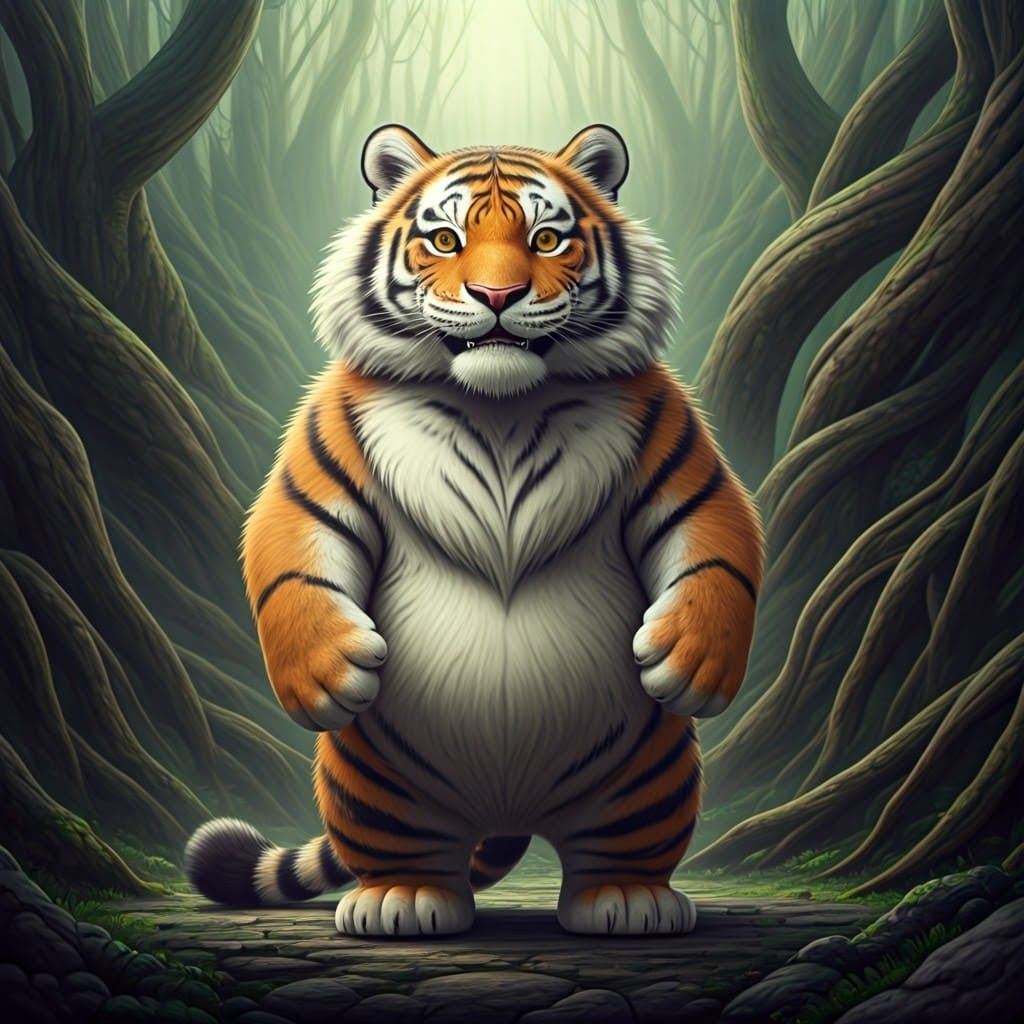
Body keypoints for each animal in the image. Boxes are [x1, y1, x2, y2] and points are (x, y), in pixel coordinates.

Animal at [184, 124, 763, 937]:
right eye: (446, 239)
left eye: (548, 238)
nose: (496, 296)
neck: (500, 403)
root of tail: (508, 815)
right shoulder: (316, 462)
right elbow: (289, 558)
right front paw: (324, 677)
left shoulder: (681, 453)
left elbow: (718, 548)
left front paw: (695, 663)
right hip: (373, 778)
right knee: (406, 851)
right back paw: (400, 901)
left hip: (649, 776)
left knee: (619, 848)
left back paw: (627, 900)